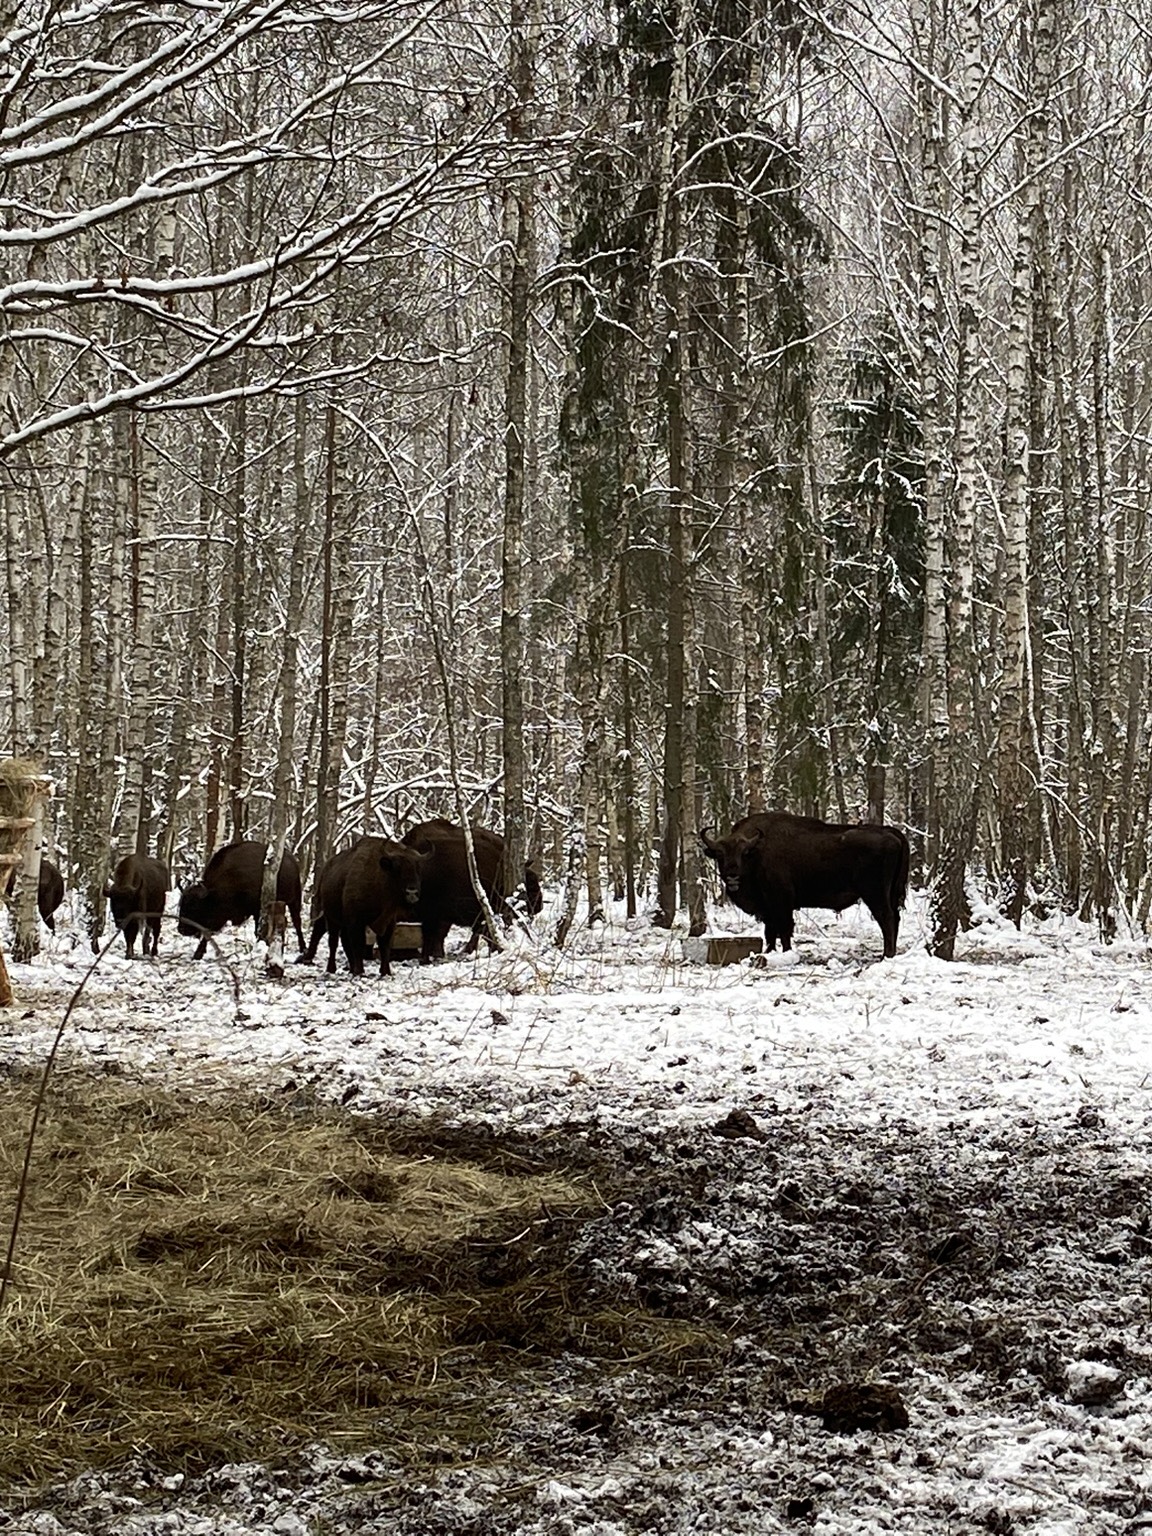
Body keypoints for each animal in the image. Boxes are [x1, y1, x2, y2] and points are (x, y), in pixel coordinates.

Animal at [177, 841, 307, 958]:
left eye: (194, 906)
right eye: (181, 904)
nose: (181, 930)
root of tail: (293, 861)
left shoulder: (256, 910)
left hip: (295, 901)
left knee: (297, 922)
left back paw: (303, 948)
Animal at [333, 835, 430, 976]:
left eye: (418, 869)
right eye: (397, 868)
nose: (412, 892)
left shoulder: (389, 921)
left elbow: (385, 945)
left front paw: (386, 971)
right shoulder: (356, 922)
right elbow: (358, 944)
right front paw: (360, 971)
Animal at [700, 811, 915, 952]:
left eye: (744, 853)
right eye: (719, 854)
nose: (732, 875)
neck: (758, 850)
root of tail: (892, 833)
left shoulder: (781, 901)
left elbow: (783, 929)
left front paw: (786, 952)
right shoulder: (768, 907)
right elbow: (770, 931)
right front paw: (769, 952)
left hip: (874, 894)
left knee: (887, 919)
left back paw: (886, 955)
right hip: (890, 893)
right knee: (895, 918)